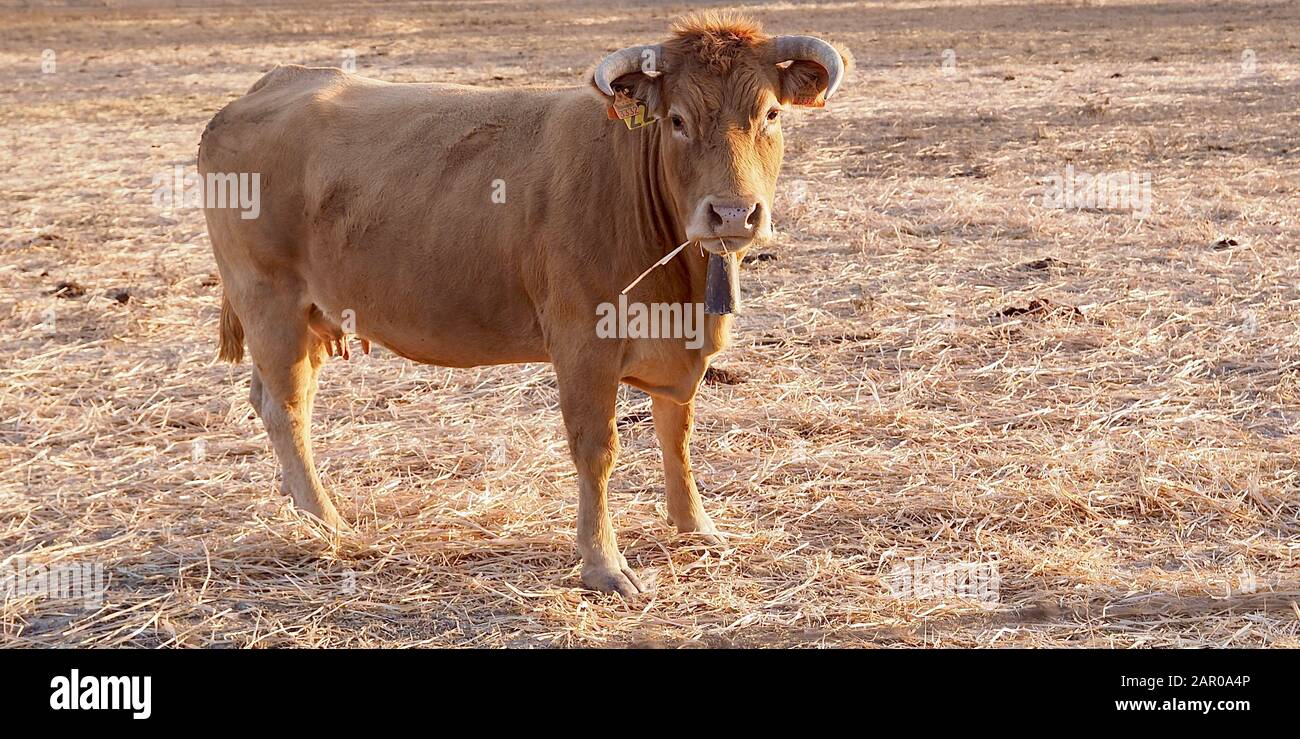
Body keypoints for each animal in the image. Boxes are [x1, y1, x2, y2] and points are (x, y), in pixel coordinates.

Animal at [199, 11, 849, 596]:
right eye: (678, 120)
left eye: (770, 114)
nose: (733, 214)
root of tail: (272, 83)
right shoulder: (584, 345)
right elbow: (597, 449)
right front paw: (604, 565)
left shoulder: (681, 350)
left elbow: (678, 432)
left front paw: (696, 526)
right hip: (269, 302)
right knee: (287, 408)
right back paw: (327, 521)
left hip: (310, 316)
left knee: (275, 398)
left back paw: (303, 508)